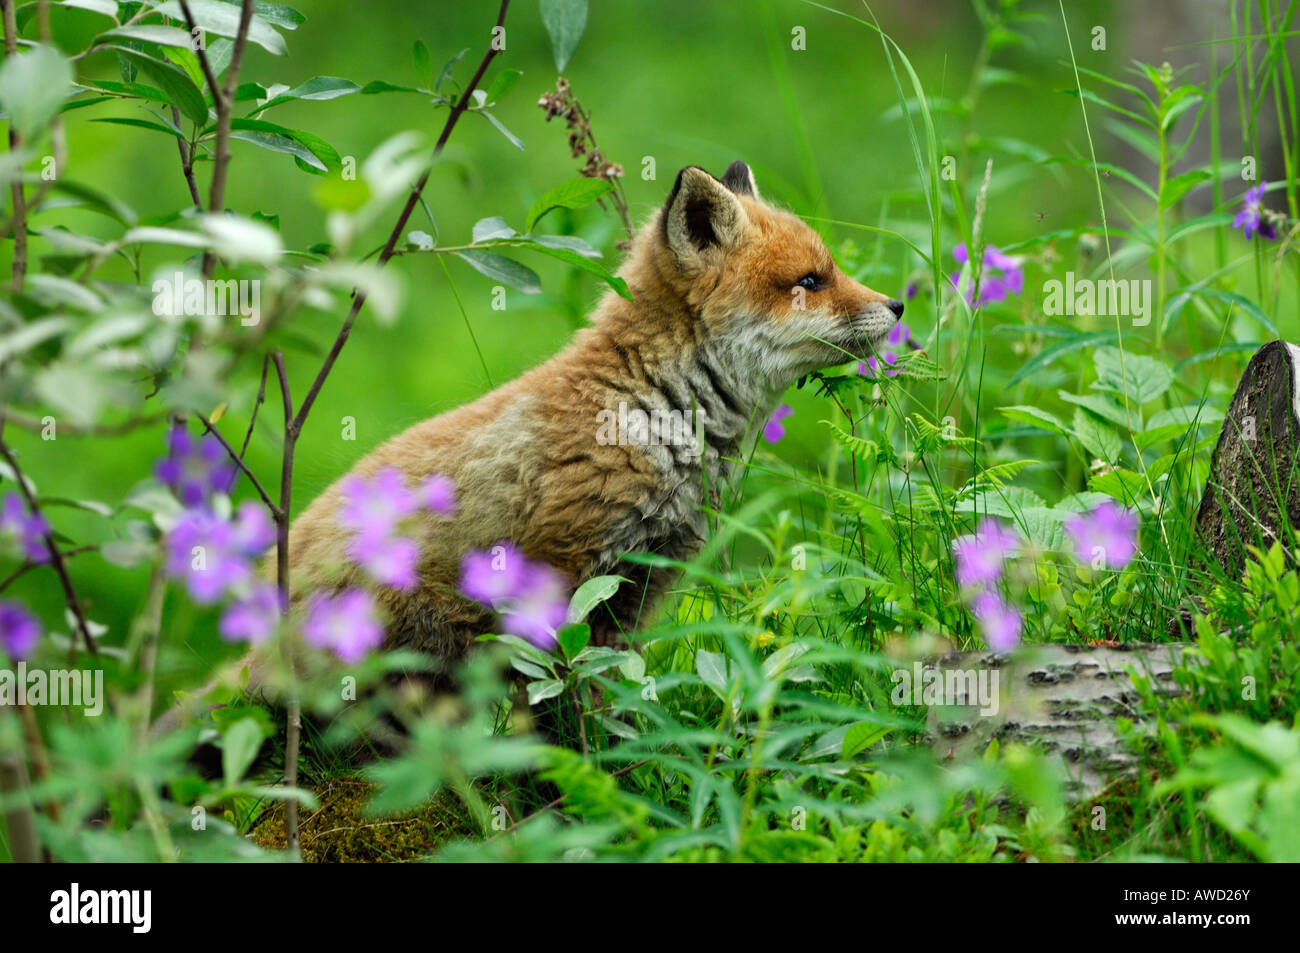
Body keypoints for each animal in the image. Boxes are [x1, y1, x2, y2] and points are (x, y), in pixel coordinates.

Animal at [175, 161, 902, 722]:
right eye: (809, 281)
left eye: (829, 271)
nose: (898, 306)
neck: (649, 411)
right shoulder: (561, 569)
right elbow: (566, 702)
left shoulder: (638, 585)